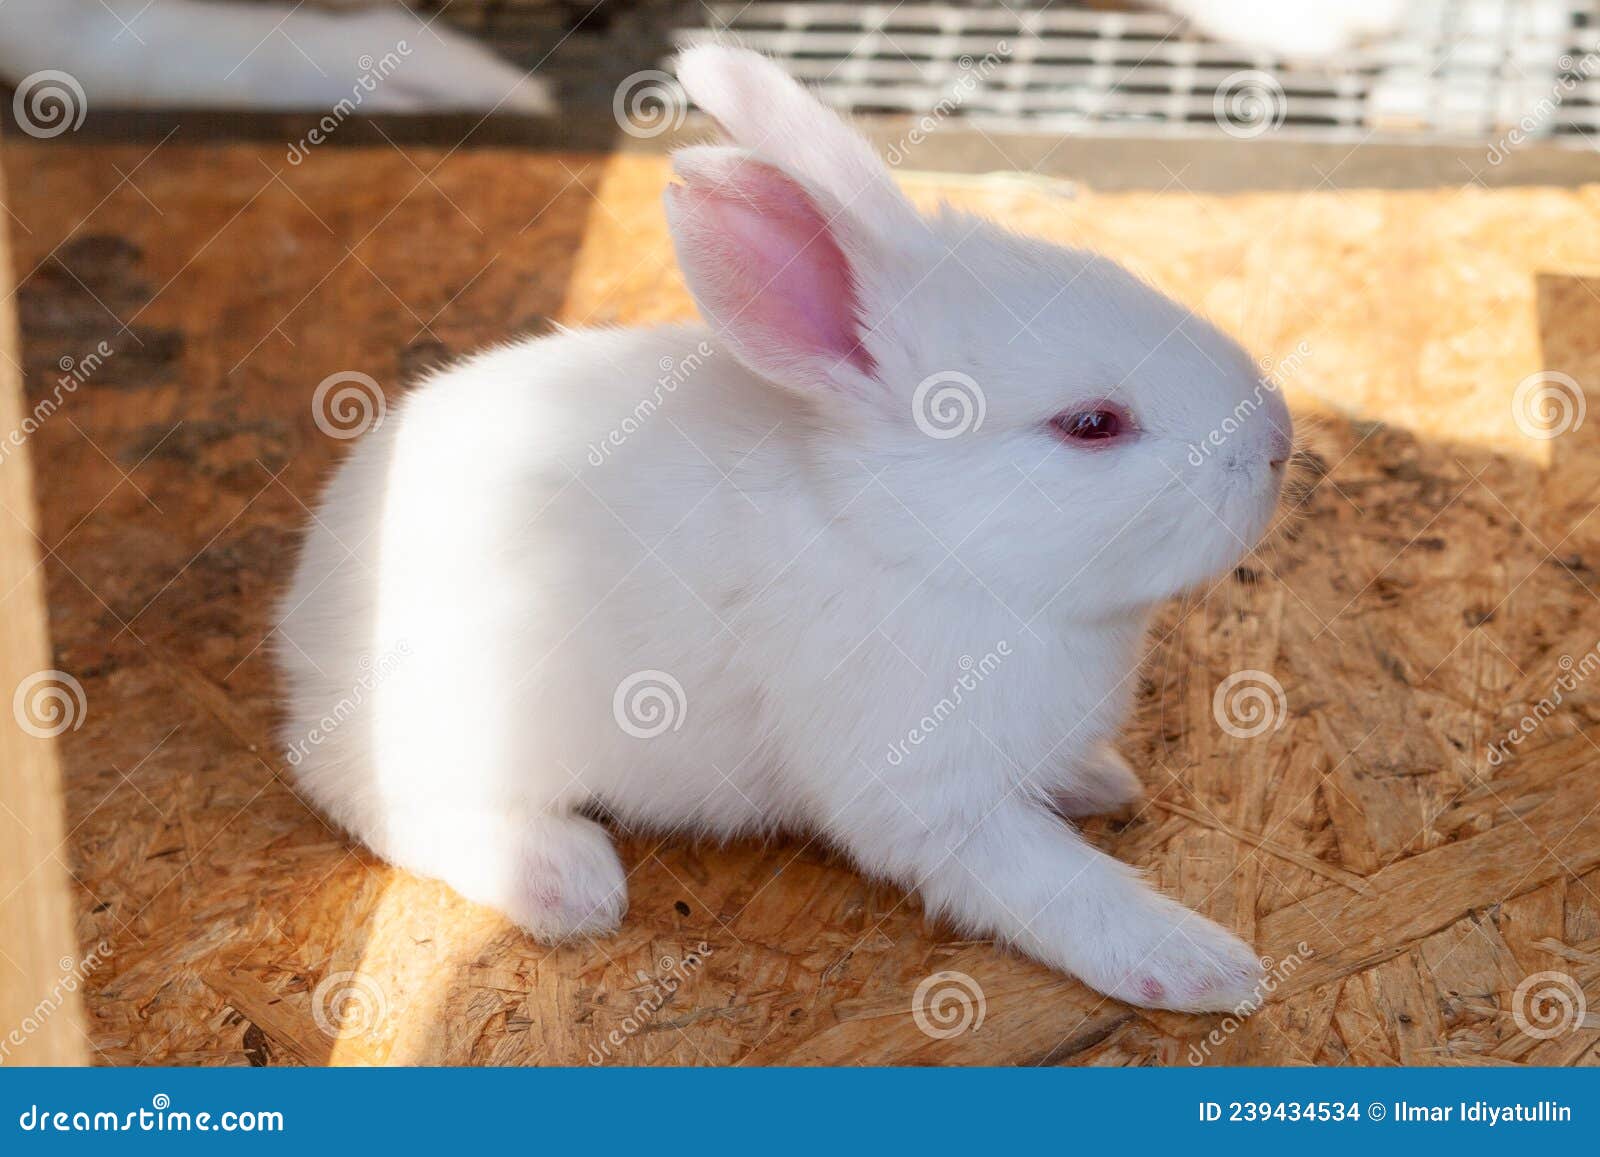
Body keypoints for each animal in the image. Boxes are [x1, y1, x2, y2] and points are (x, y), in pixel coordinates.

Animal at [276, 44, 1294, 1014]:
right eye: (1091, 425)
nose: (1280, 438)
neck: (908, 543)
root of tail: (305, 625)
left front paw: (1099, 780)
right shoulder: (925, 793)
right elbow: (1065, 891)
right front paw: (1208, 969)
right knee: (368, 794)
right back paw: (568, 882)